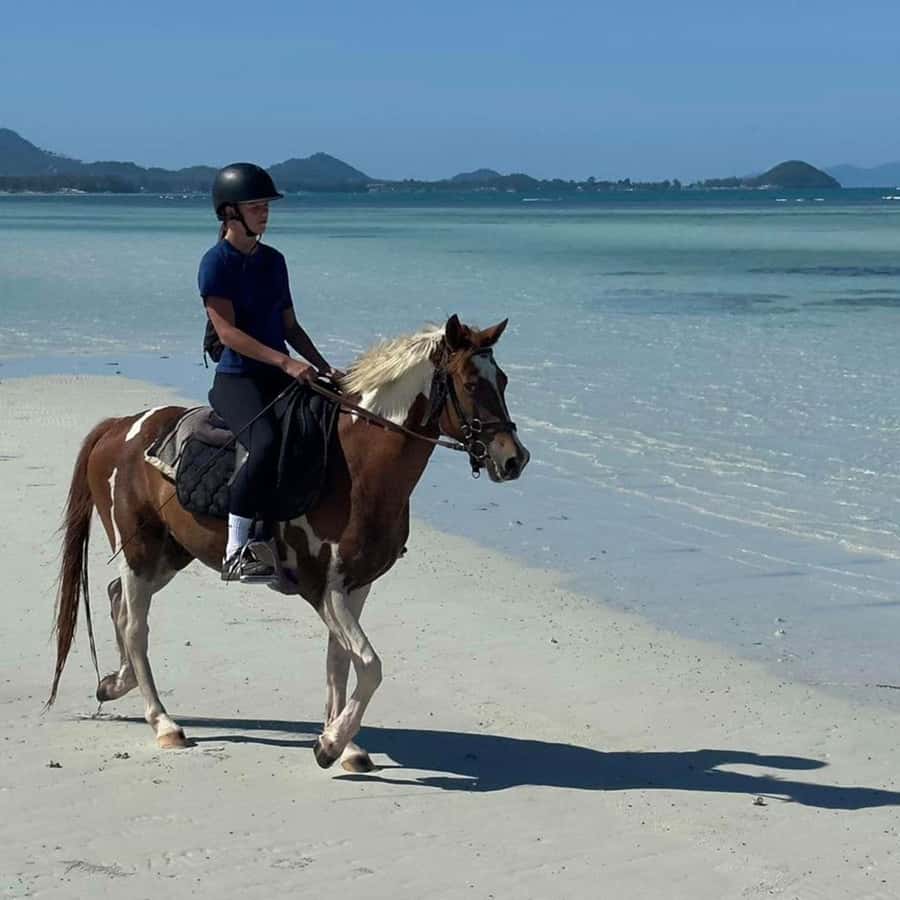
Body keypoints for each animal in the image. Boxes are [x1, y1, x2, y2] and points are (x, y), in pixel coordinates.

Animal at [47, 314, 530, 772]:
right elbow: (369, 665)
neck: (357, 466)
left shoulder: (356, 585)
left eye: (503, 380)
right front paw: (330, 744)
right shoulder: (323, 589)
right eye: (471, 383)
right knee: (135, 625)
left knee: (117, 598)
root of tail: (120, 427)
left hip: (168, 554)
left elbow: (341, 662)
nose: (514, 459)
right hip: (141, 551)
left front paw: (344, 745)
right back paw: (164, 722)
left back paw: (116, 683)